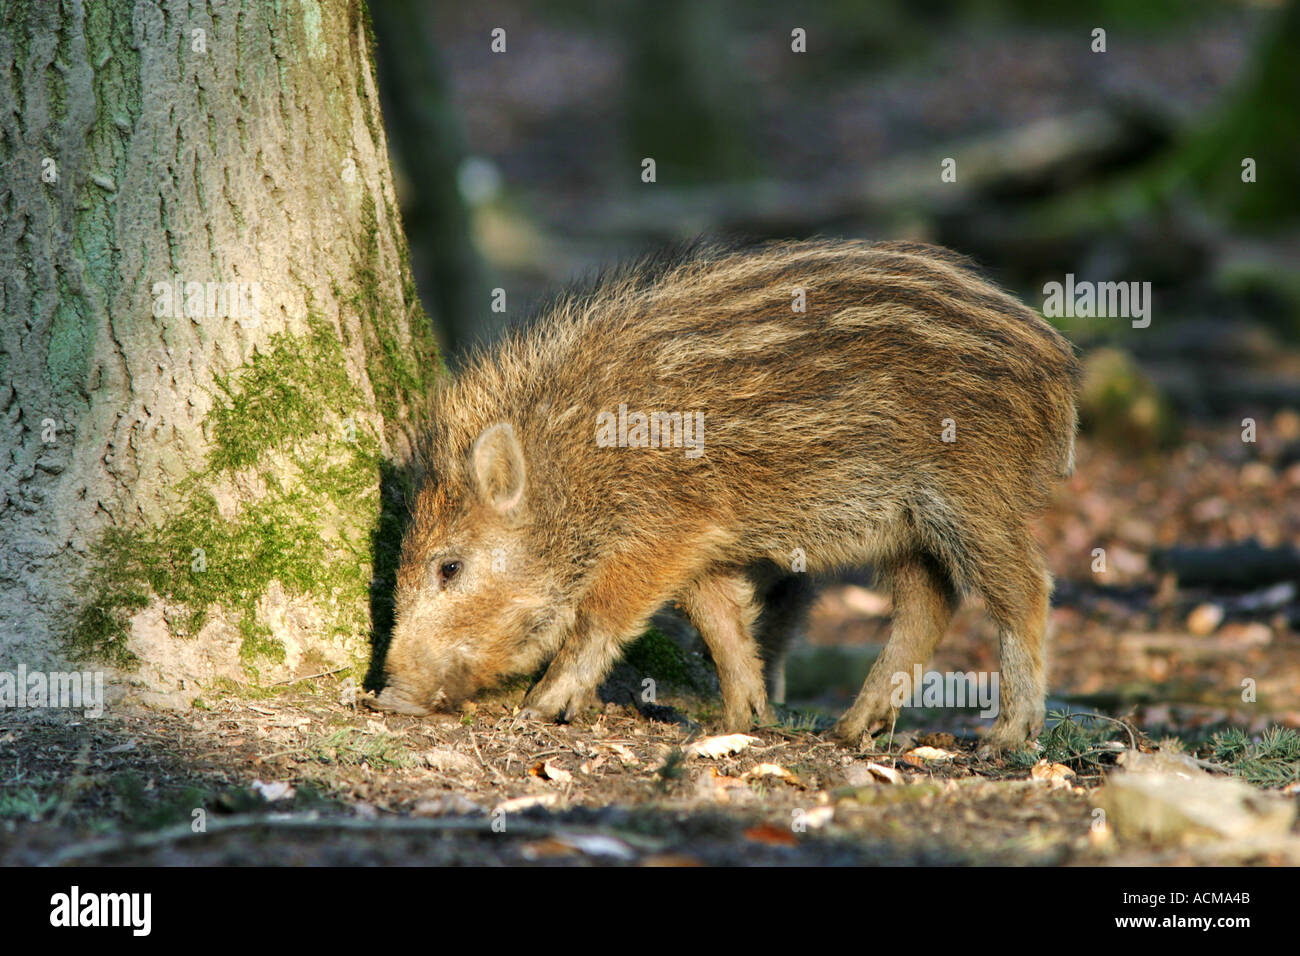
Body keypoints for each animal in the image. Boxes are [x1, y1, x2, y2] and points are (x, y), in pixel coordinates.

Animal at [371, 239, 1080, 752]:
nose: (387, 696)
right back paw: (850, 731)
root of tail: (1058, 360)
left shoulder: (666, 528)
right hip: (906, 525)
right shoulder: (703, 544)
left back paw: (1005, 739)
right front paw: (739, 721)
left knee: (1025, 587)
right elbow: (721, 619)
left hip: (973, 494)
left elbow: (603, 613)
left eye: (449, 567)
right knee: (929, 603)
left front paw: (541, 708)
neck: (576, 467)